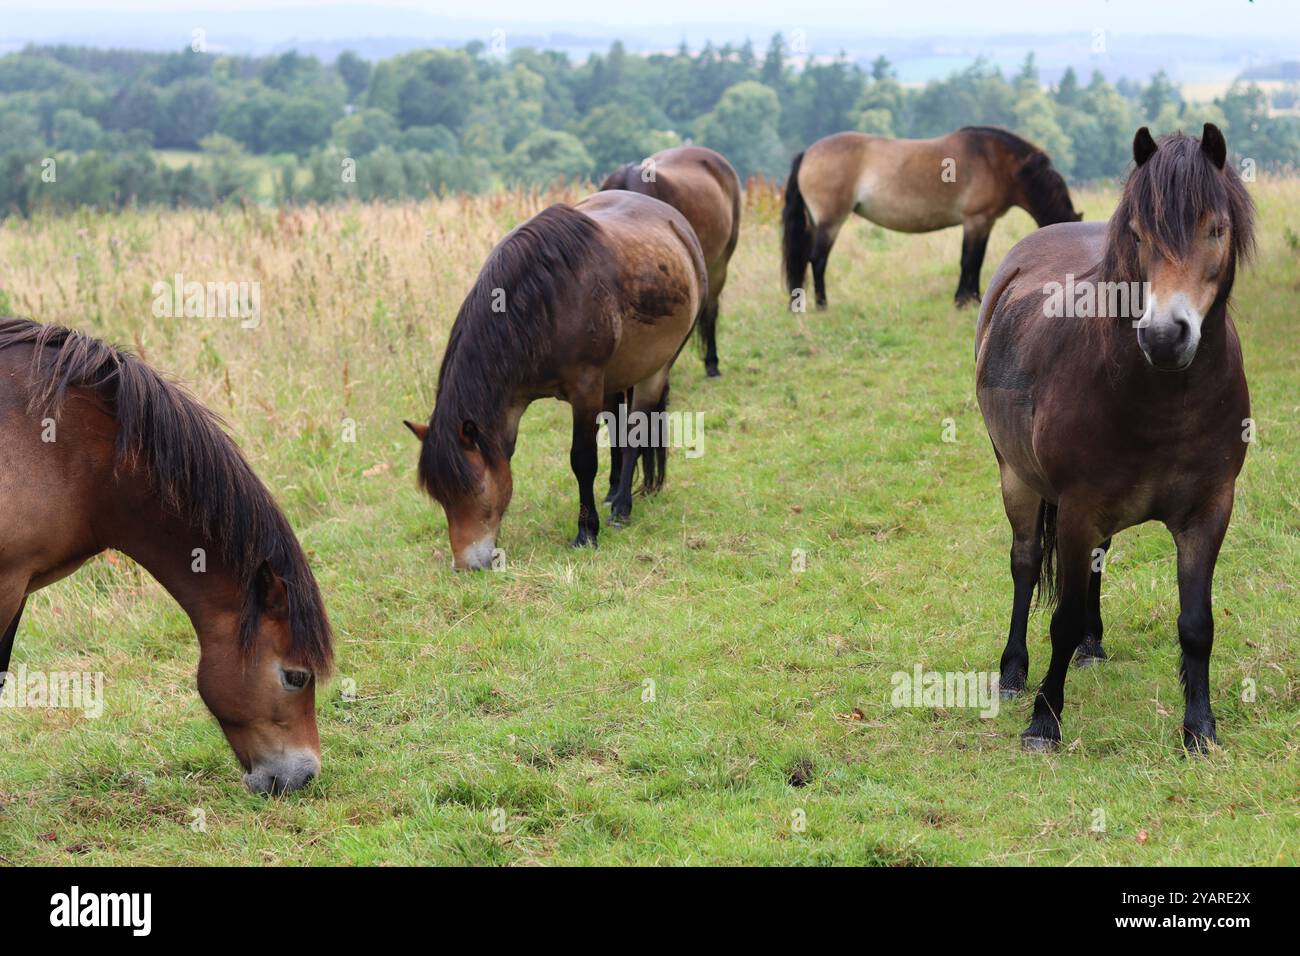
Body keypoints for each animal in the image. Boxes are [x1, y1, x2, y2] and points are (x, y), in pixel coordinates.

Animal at [404, 190, 706, 570]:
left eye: (476, 490)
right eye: (440, 497)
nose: (466, 565)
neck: (543, 299)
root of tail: (678, 225)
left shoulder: (586, 387)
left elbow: (583, 460)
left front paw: (586, 533)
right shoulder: (513, 402)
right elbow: (506, 455)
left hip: (657, 369)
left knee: (637, 433)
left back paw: (622, 506)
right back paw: (611, 493)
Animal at [783, 126, 1081, 310]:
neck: (996, 161)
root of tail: (808, 153)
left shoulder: (985, 223)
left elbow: (975, 261)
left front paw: (971, 298)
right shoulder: (976, 220)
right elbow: (969, 261)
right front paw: (964, 301)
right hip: (830, 222)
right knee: (818, 260)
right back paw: (822, 305)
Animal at [974, 124, 1254, 753]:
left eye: (1216, 229)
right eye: (1139, 234)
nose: (1165, 336)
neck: (1165, 399)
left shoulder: (1210, 511)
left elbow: (1196, 625)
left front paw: (1200, 729)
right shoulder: (1077, 508)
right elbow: (1061, 617)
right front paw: (1043, 722)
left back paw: (1093, 646)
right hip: (1015, 477)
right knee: (1025, 563)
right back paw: (1012, 672)